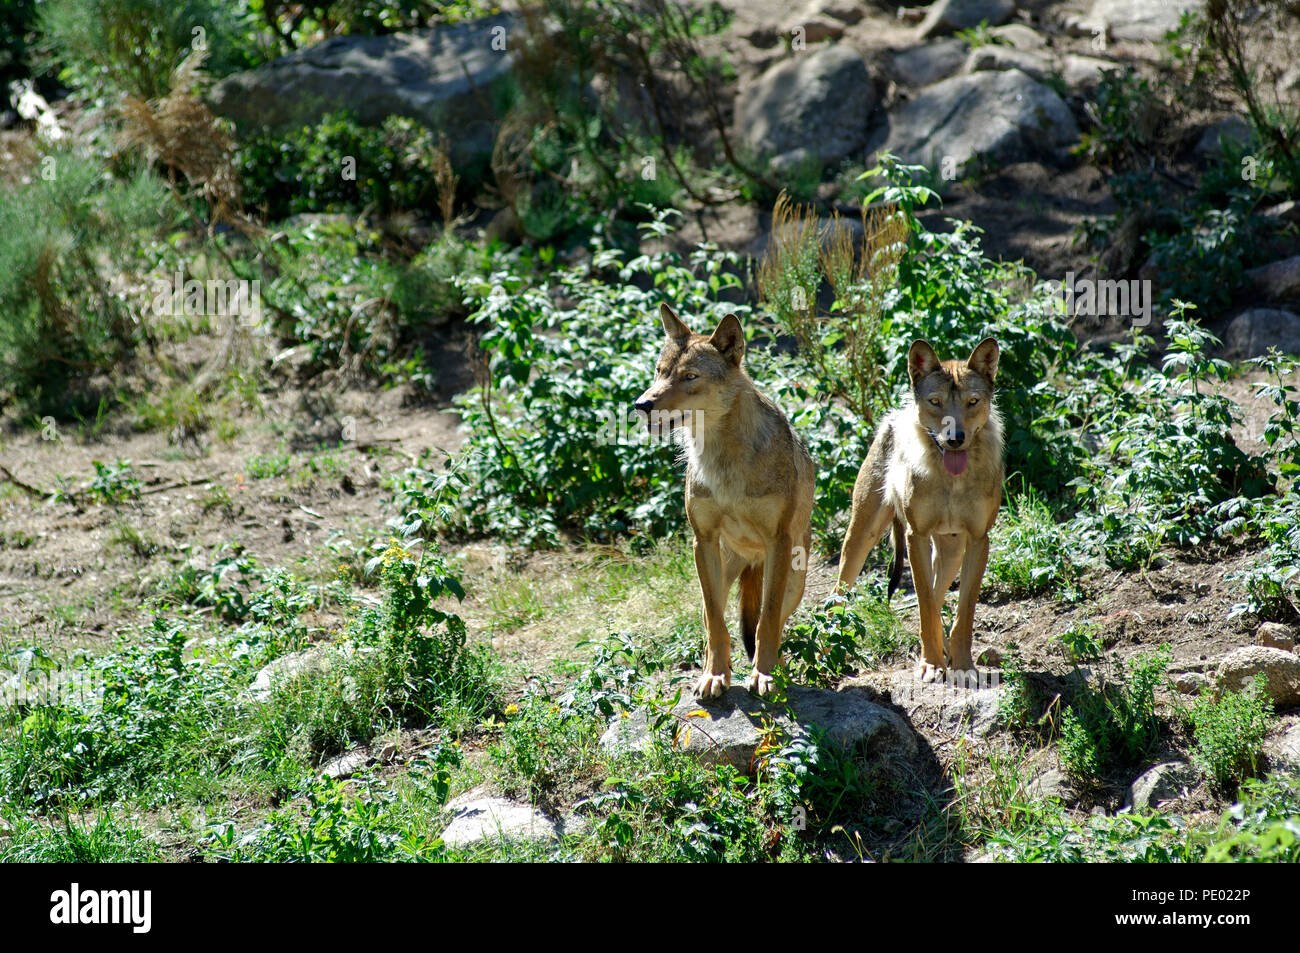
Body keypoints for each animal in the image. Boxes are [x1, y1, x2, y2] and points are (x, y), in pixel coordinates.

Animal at [635, 304, 815, 699]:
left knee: (774, 621)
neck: (723, 459)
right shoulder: (702, 541)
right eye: (660, 371)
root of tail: (752, 558)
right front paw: (715, 675)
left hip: (795, 578)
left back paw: (777, 668)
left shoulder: (778, 541)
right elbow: (717, 624)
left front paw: (764, 674)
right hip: (716, 570)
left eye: (690, 376)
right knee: (710, 620)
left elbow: (766, 621)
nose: (642, 404)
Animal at [837, 338, 1003, 680]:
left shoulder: (979, 540)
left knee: (940, 597)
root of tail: (893, 417)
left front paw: (962, 665)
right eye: (935, 402)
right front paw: (931, 664)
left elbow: (963, 611)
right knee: (837, 595)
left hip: (951, 552)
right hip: (861, 540)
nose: (955, 439)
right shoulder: (917, 535)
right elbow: (925, 603)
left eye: (972, 402)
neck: (952, 480)